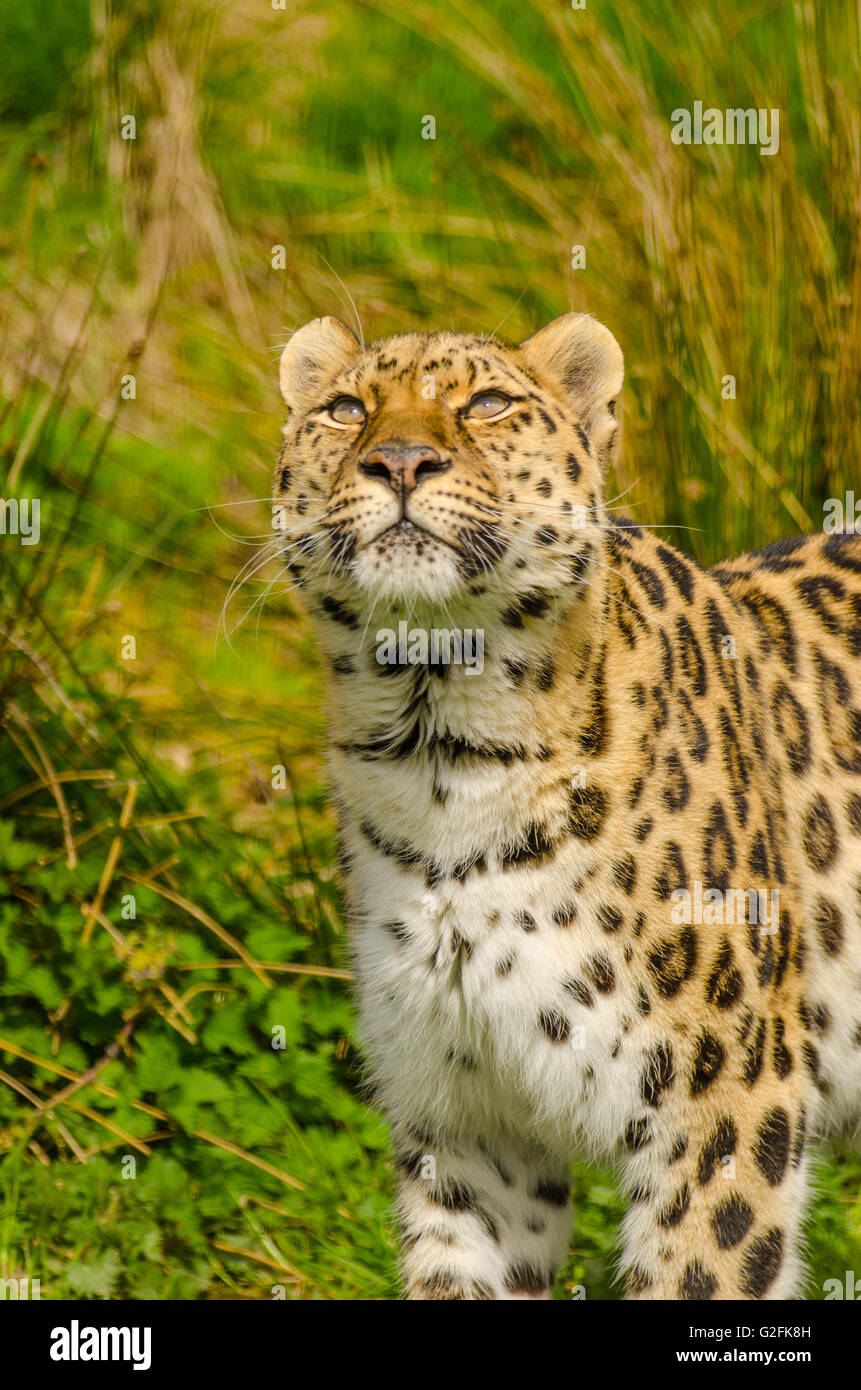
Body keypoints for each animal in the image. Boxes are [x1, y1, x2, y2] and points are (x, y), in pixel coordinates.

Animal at [271, 310, 861, 1300]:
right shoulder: (466, 1128)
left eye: (487, 404)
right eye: (344, 409)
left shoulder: (725, 1109)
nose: (398, 460)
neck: (441, 752)